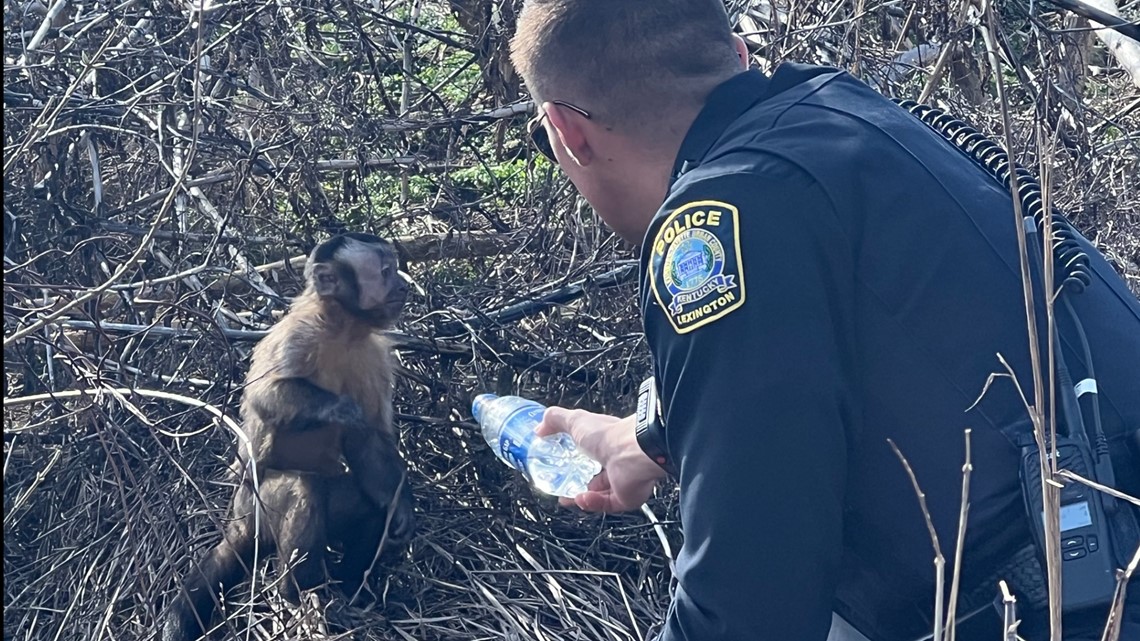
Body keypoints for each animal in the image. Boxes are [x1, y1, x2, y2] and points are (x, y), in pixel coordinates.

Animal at [161, 233, 416, 641]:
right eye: (385, 271)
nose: (404, 285)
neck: (342, 329)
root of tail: (237, 521)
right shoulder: (299, 333)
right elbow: (266, 397)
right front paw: (339, 408)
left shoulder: (374, 355)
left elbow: (370, 444)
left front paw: (402, 506)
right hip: (256, 510)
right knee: (303, 489)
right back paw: (295, 593)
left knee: (368, 505)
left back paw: (350, 590)